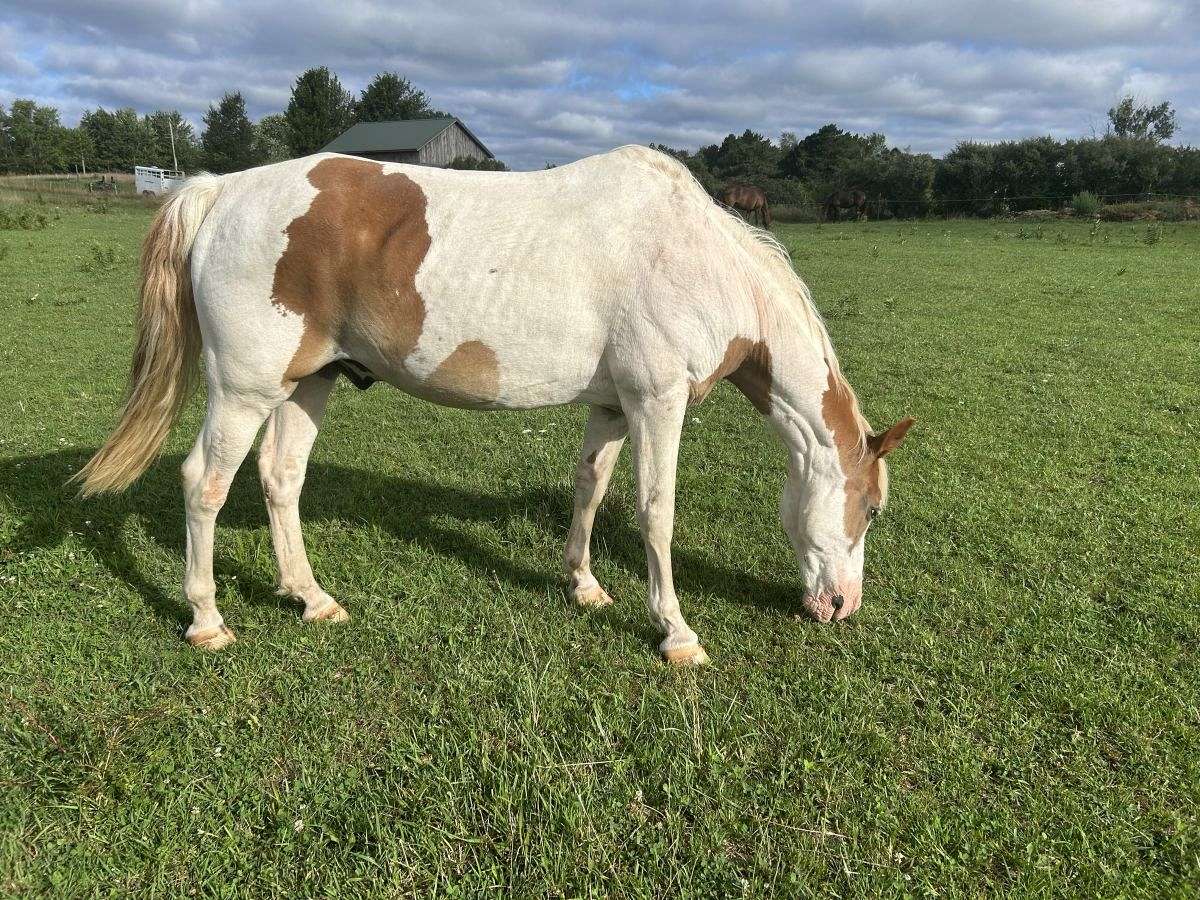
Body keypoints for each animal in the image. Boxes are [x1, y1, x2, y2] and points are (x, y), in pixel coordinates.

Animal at [76, 146, 913, 665]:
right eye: (870, 510)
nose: (841, 606)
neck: (701, 260)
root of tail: (220, 190)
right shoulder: (658, 402)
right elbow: (656, 511)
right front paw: (676, 632)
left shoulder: (614, 407)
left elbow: (590, 487)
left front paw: (583, 585)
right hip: (246, 389)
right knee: (205, 485)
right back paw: (207, 621)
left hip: (308, 381)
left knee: (281, 478)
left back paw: (311, 599)